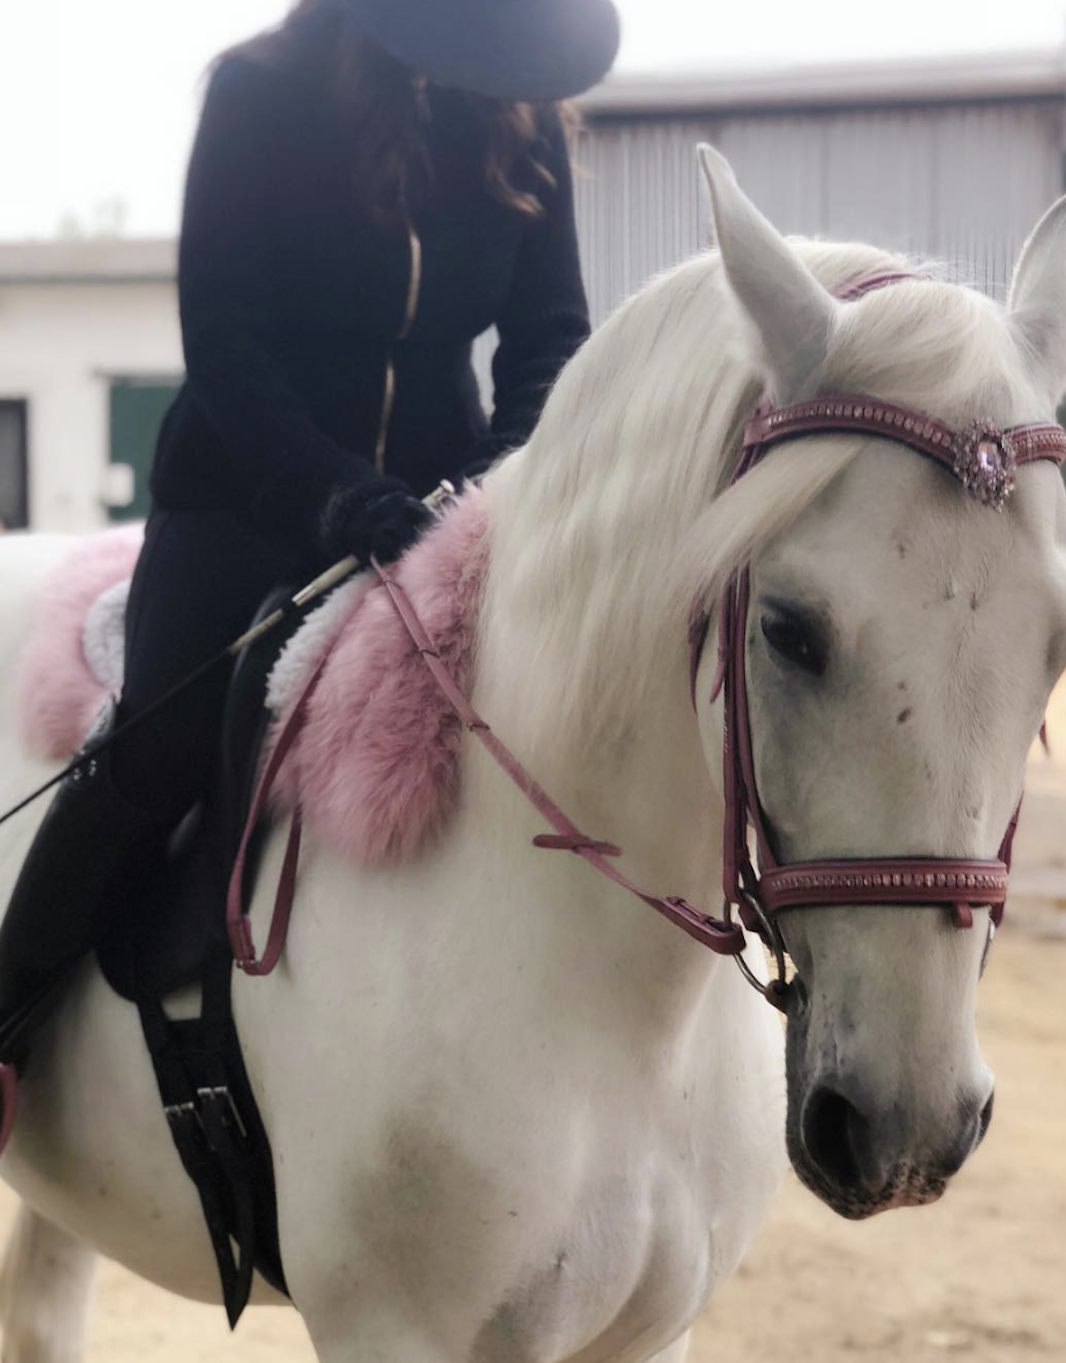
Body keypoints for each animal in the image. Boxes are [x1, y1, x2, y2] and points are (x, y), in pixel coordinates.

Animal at [0, 145, 1064, 1363]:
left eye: (1054, 647)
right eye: (790, 628)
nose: (907, 1124)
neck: (608, 994)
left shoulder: (650, 1333)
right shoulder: (394, 1333)